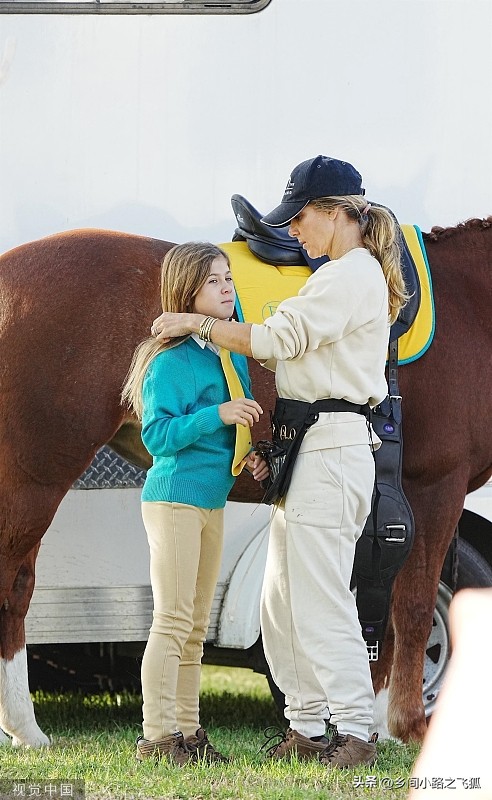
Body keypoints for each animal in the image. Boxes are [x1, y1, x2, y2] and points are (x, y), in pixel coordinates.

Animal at [0, 218, 491, 748]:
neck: (470, 302)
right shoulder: (435, 487)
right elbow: (414, 607)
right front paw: (407, 726)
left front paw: (376, 722)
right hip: (35, 477)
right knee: (13, 587)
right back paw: (26, 728)